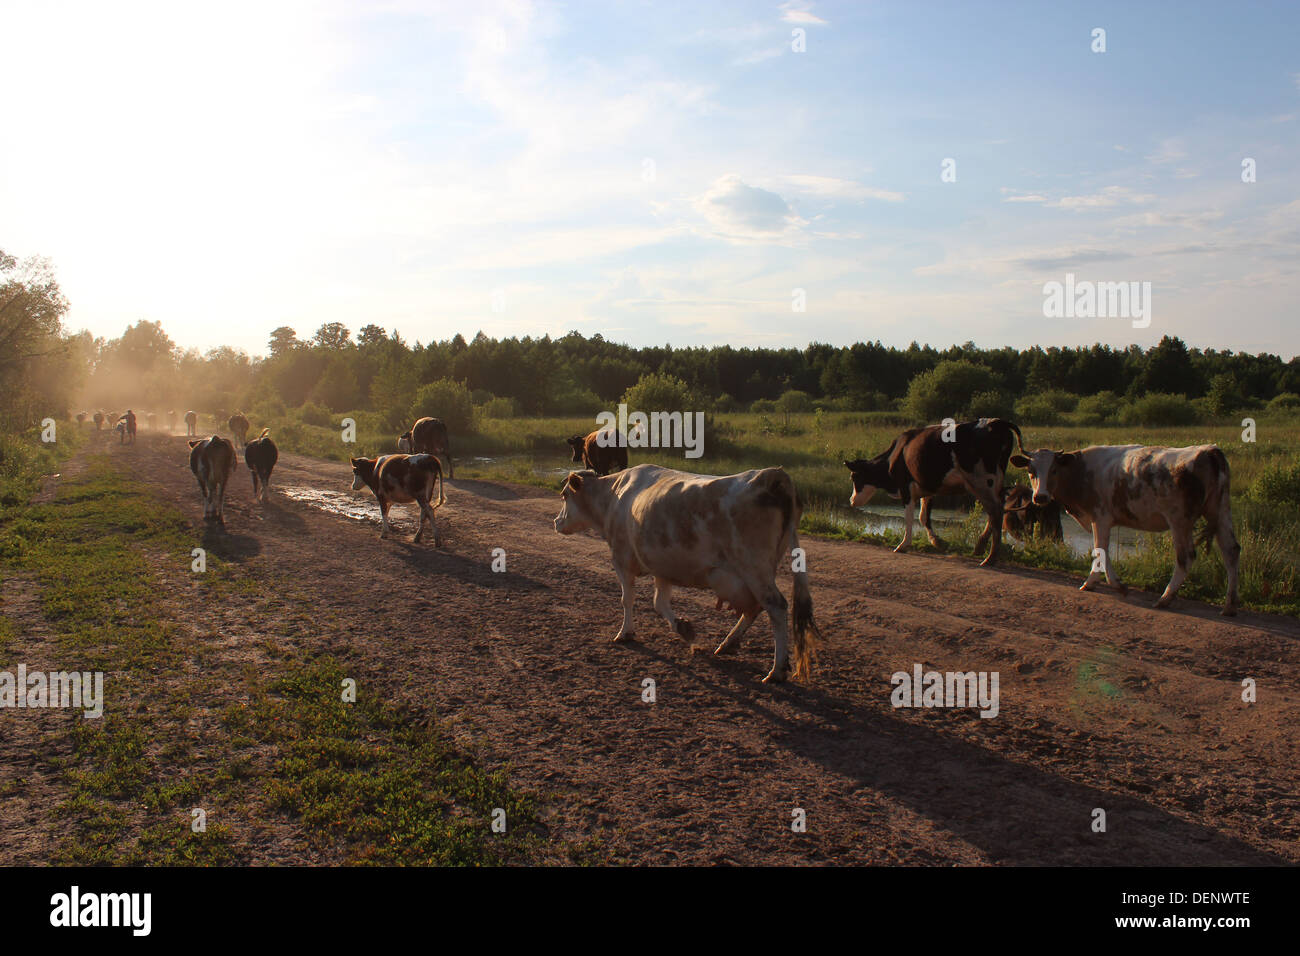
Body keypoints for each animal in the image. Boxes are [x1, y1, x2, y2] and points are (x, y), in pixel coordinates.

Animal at [553, 463, 822, 684]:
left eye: (564, 495)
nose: (556, 521)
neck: (615, 496)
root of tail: (772, 475)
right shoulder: (661, 566)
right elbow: (659, 602)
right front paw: (683, 628)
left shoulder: (622, 558)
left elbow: (627, 599)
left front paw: (624, 633)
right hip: (756, 573)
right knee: (754, 608)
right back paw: (728, 643)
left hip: (754, 568)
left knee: (775, 607)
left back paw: (776, 670)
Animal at [844, 418, 1024, 566]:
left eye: (854, 477)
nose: (851, 500)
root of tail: (996, 422)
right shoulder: (927, 488)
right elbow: (924, 517)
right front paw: (937, 541)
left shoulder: (905, 487)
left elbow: (909, 516)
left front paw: (903, 544)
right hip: (994, 482)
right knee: (997, 509)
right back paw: (980, 548)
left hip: (981, 482)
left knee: (995, 511)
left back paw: (990, 557)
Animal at [1010, 444, 1240, 615]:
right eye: (1030, 471)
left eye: (1054, 470)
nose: (1040, 497)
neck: (1082, 471)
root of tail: (1208, 451)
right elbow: (1104, 551)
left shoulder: (1100, 517)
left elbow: (1100, 550)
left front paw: (1101, 583)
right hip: (1221, 512)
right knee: (1231, 551)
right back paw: (1229, 605)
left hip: (1179, 520)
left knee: (1186, 557)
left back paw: (1165, 598)